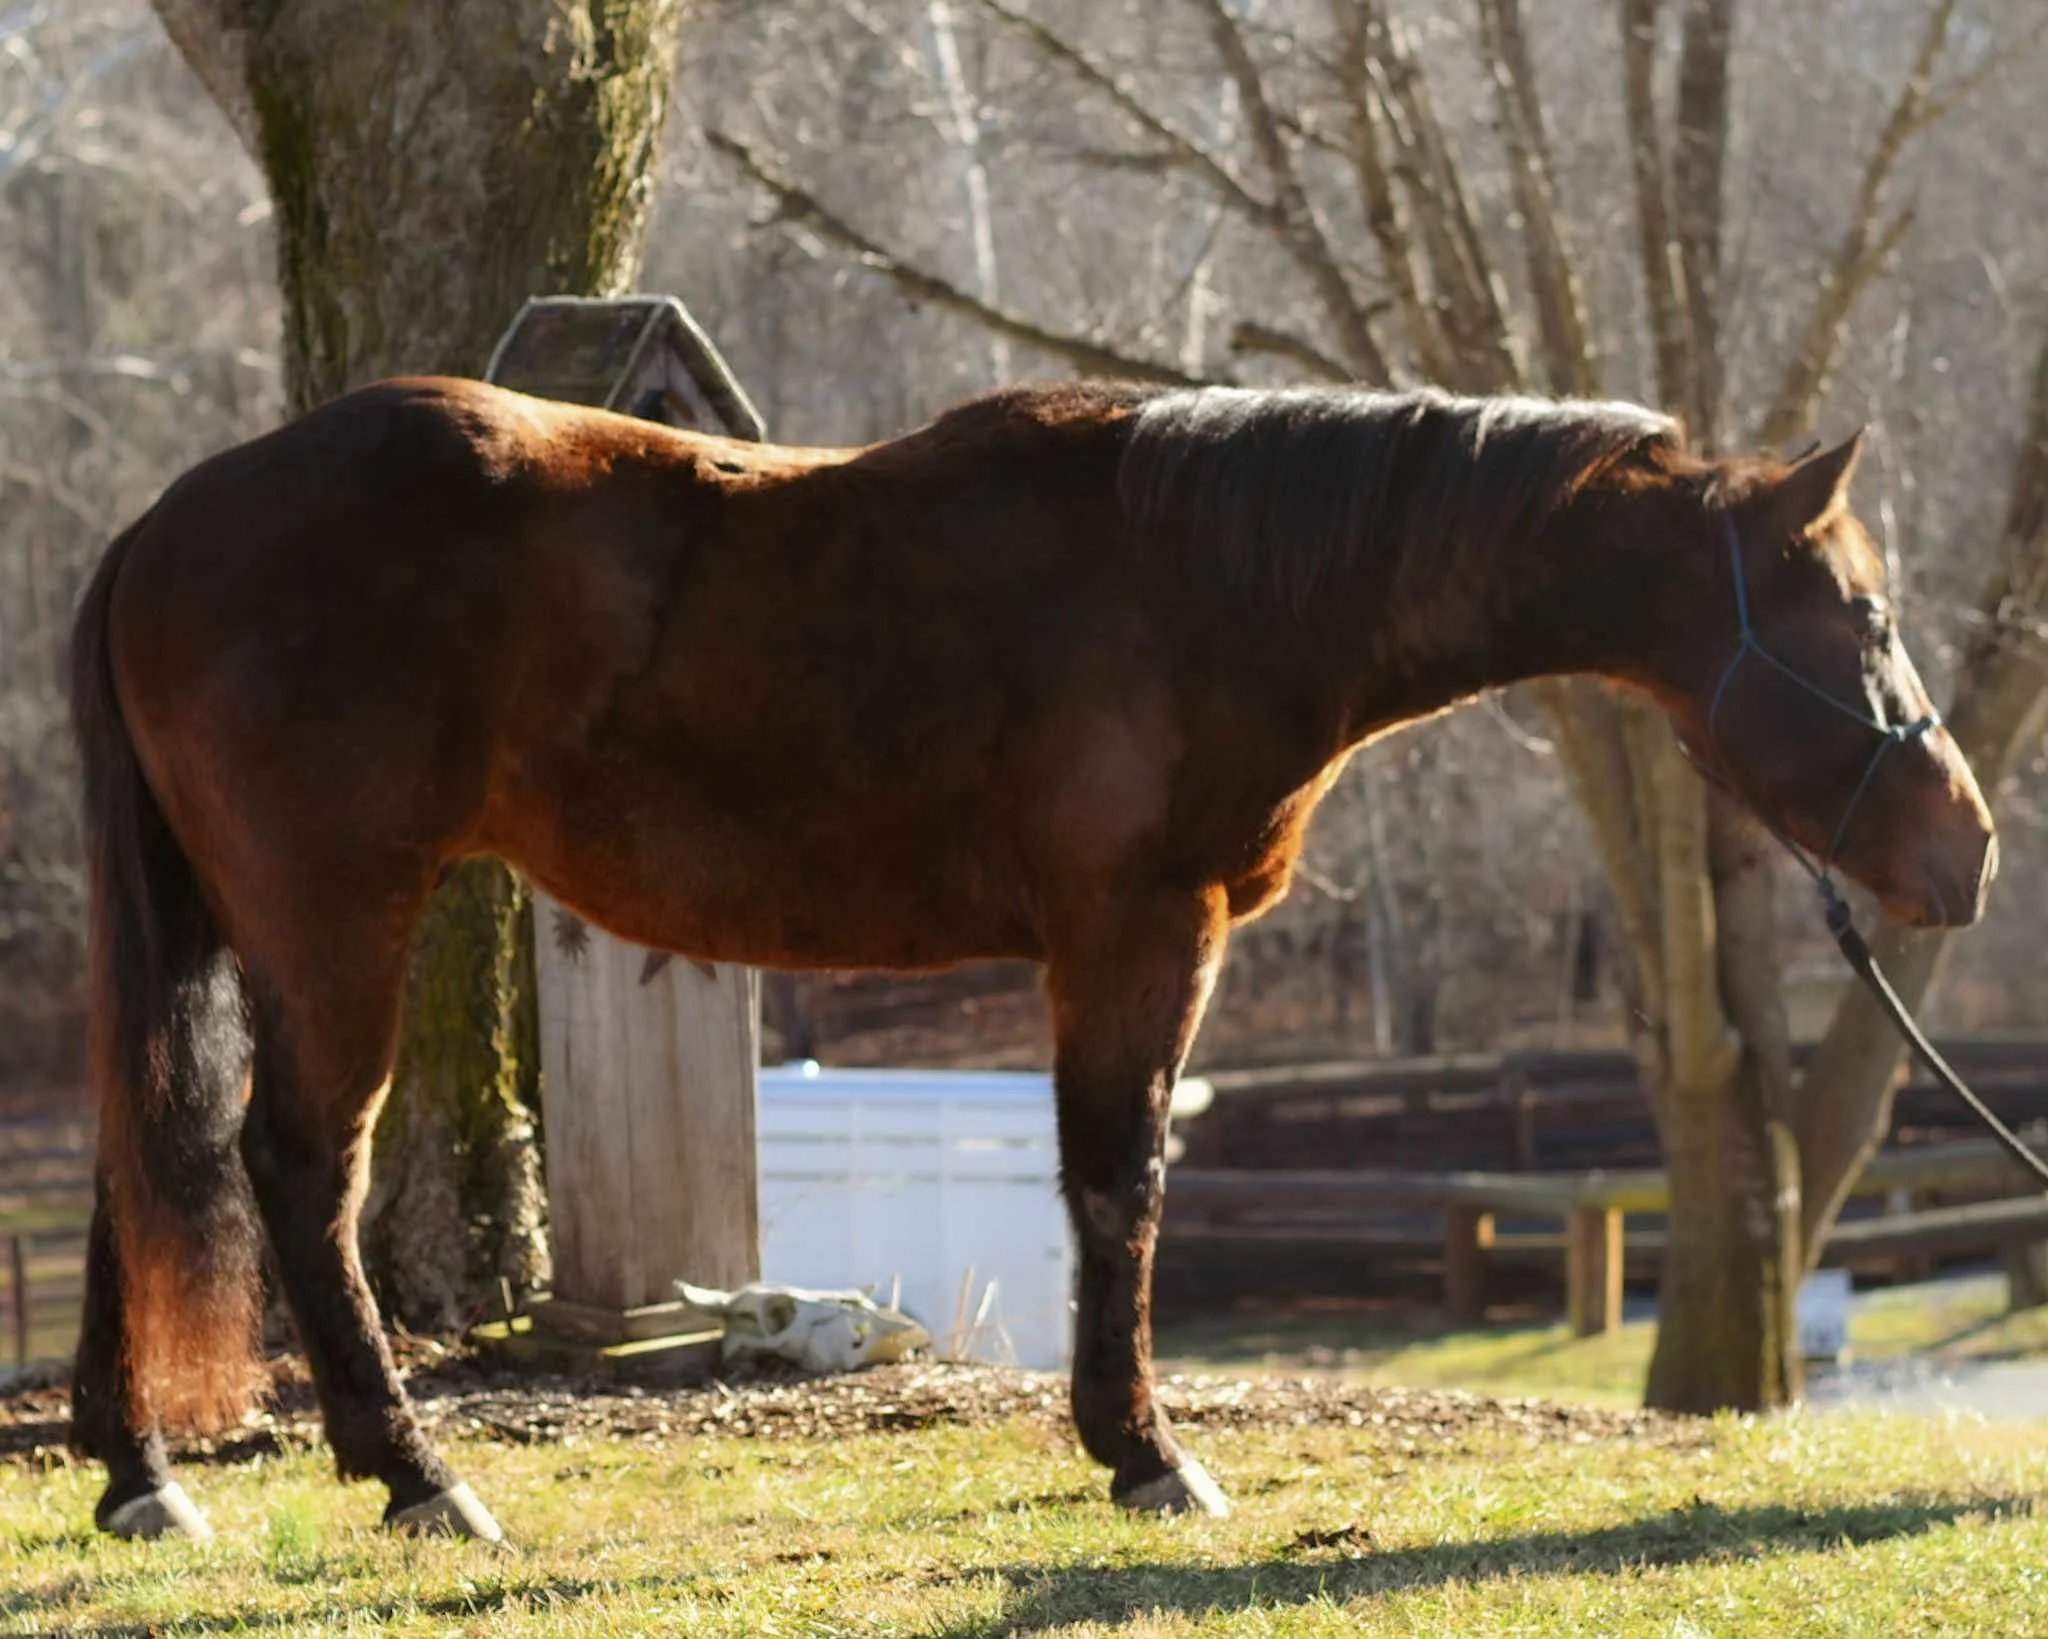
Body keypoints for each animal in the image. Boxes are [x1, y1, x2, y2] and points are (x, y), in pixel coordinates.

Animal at [68, 377, 1996, 1540]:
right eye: (1860, 613)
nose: (1963, 848)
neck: (1209, 579)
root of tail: (161, 524)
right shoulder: (1141, 929)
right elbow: (1120, 1180)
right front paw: (1144, 1447)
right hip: (334, 928)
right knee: (290, 1170)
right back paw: (416, 1476)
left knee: (144, 1162)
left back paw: (140, 1472)